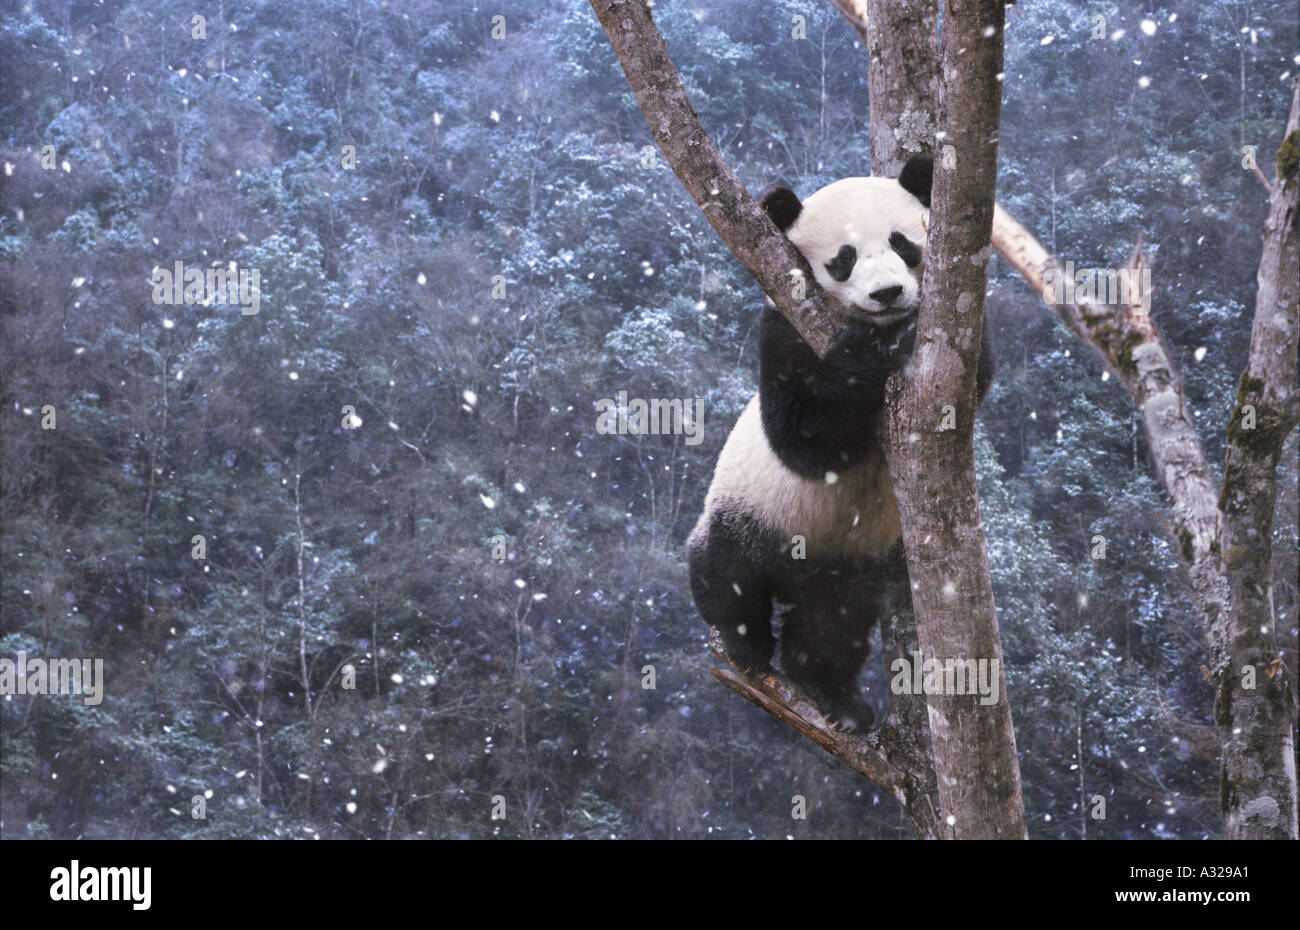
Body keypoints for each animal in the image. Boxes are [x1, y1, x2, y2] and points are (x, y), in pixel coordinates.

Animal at [686, 155, 994, 731]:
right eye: (843, 260)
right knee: (724, 569)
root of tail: (797, 570)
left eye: (903, 244)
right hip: (752, 507)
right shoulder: (784, 329)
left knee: (831, 626)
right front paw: (871, 350)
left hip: (846, 565)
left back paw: (837, 699)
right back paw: (745, 645)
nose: (887, 294)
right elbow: (804, 437)